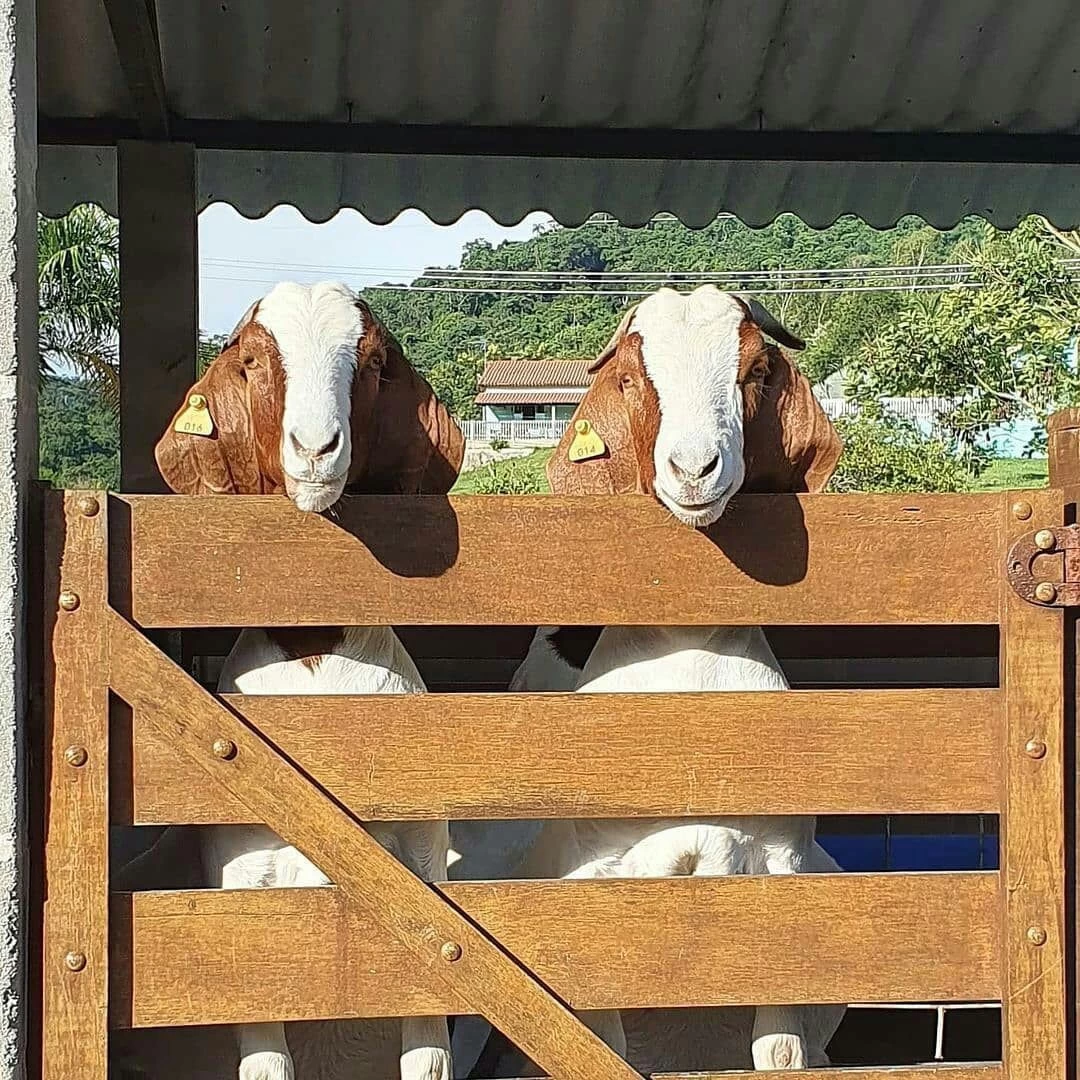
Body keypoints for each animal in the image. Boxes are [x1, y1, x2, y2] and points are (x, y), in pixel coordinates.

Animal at [151, 281, 464, 1080]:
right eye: (253, 361)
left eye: (376, 363)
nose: (316, 449)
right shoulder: (247, 890)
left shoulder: (426, 883)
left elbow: (428, 1049)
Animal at [456, 286, 845, 1076]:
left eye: (756, 371)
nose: (694, 466)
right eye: (634, 379)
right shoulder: (594, 878)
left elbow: (780, 1046)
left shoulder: (784, 868)